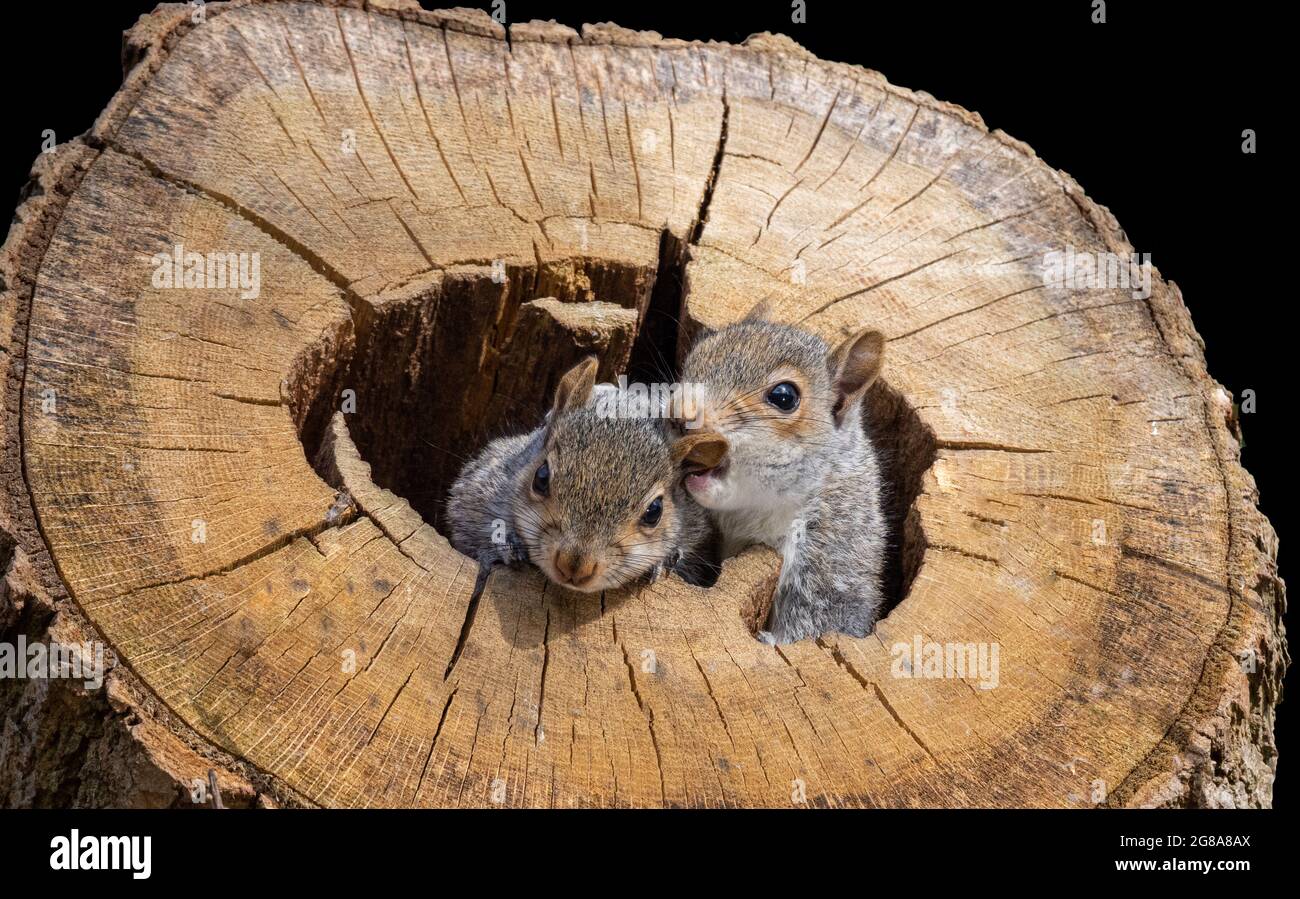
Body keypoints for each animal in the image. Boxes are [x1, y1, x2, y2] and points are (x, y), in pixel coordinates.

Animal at [446, 357, 726, 593]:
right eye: (541, 477)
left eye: (655, 511)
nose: (575, 566)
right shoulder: (479, 488)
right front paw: (507, 544)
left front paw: (664, 561)